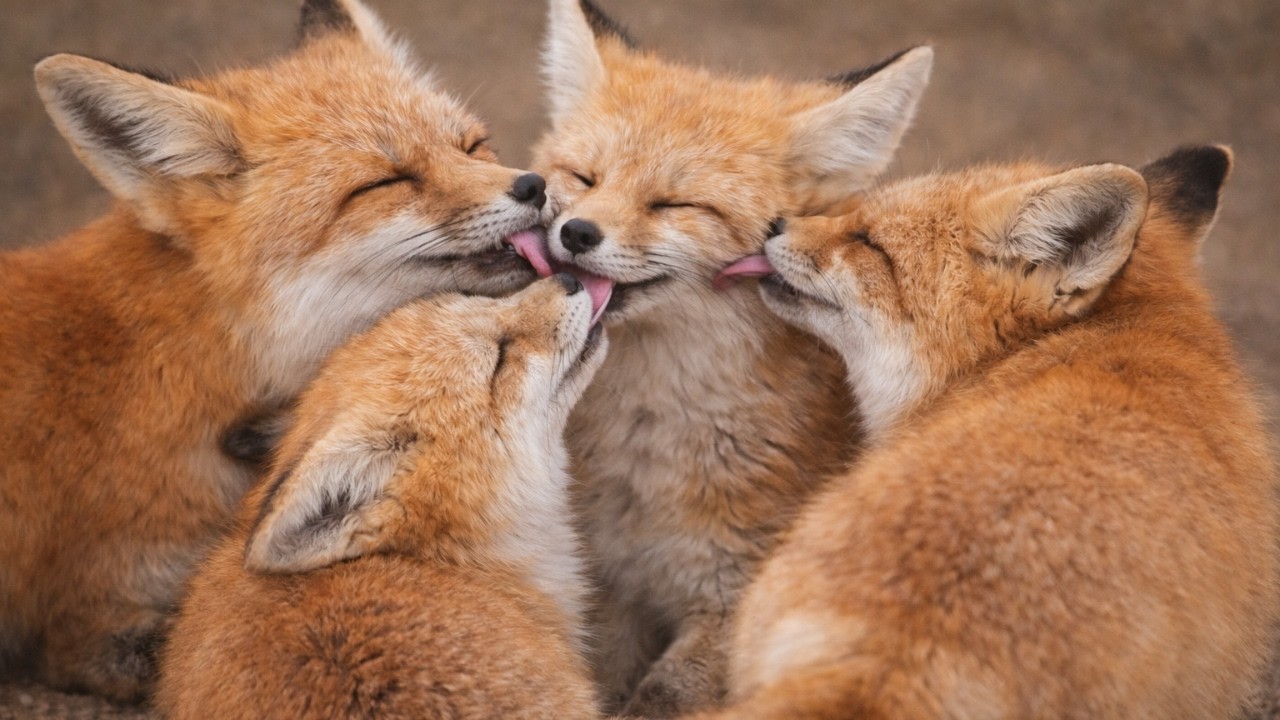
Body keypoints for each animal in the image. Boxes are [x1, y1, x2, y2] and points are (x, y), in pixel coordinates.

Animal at [517, 0, 935, 714]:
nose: (575, 232)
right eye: (584, 178)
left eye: (675, 204)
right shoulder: (613, 591)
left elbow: (660, 699)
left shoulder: (733, 600)